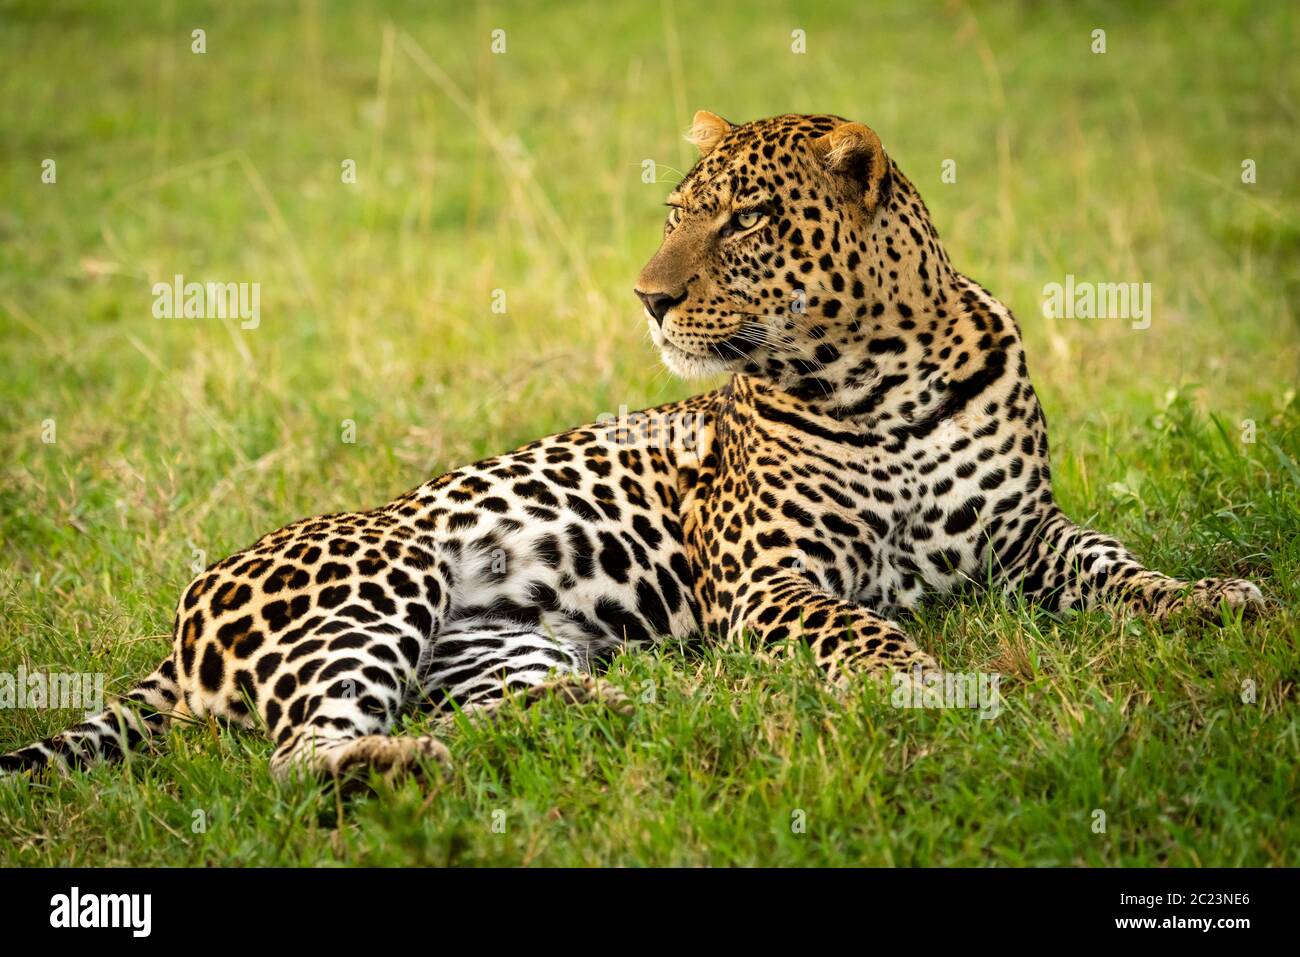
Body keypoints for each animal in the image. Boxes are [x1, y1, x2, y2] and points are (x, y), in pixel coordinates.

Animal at [2, 110, 1266, 784]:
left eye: (746, 220)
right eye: (674, 213)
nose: (646, 298)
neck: (886, 376)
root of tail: (180, 621)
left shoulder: (1024, 532)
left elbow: (1117, 565)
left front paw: (1213, 598)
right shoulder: (770, 579)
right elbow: (857, 625)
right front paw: (924, 678)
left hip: (506, 650)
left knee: (477, 710)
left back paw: (653, 709)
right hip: (386, 573)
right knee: (305, 749)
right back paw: (403, 774)